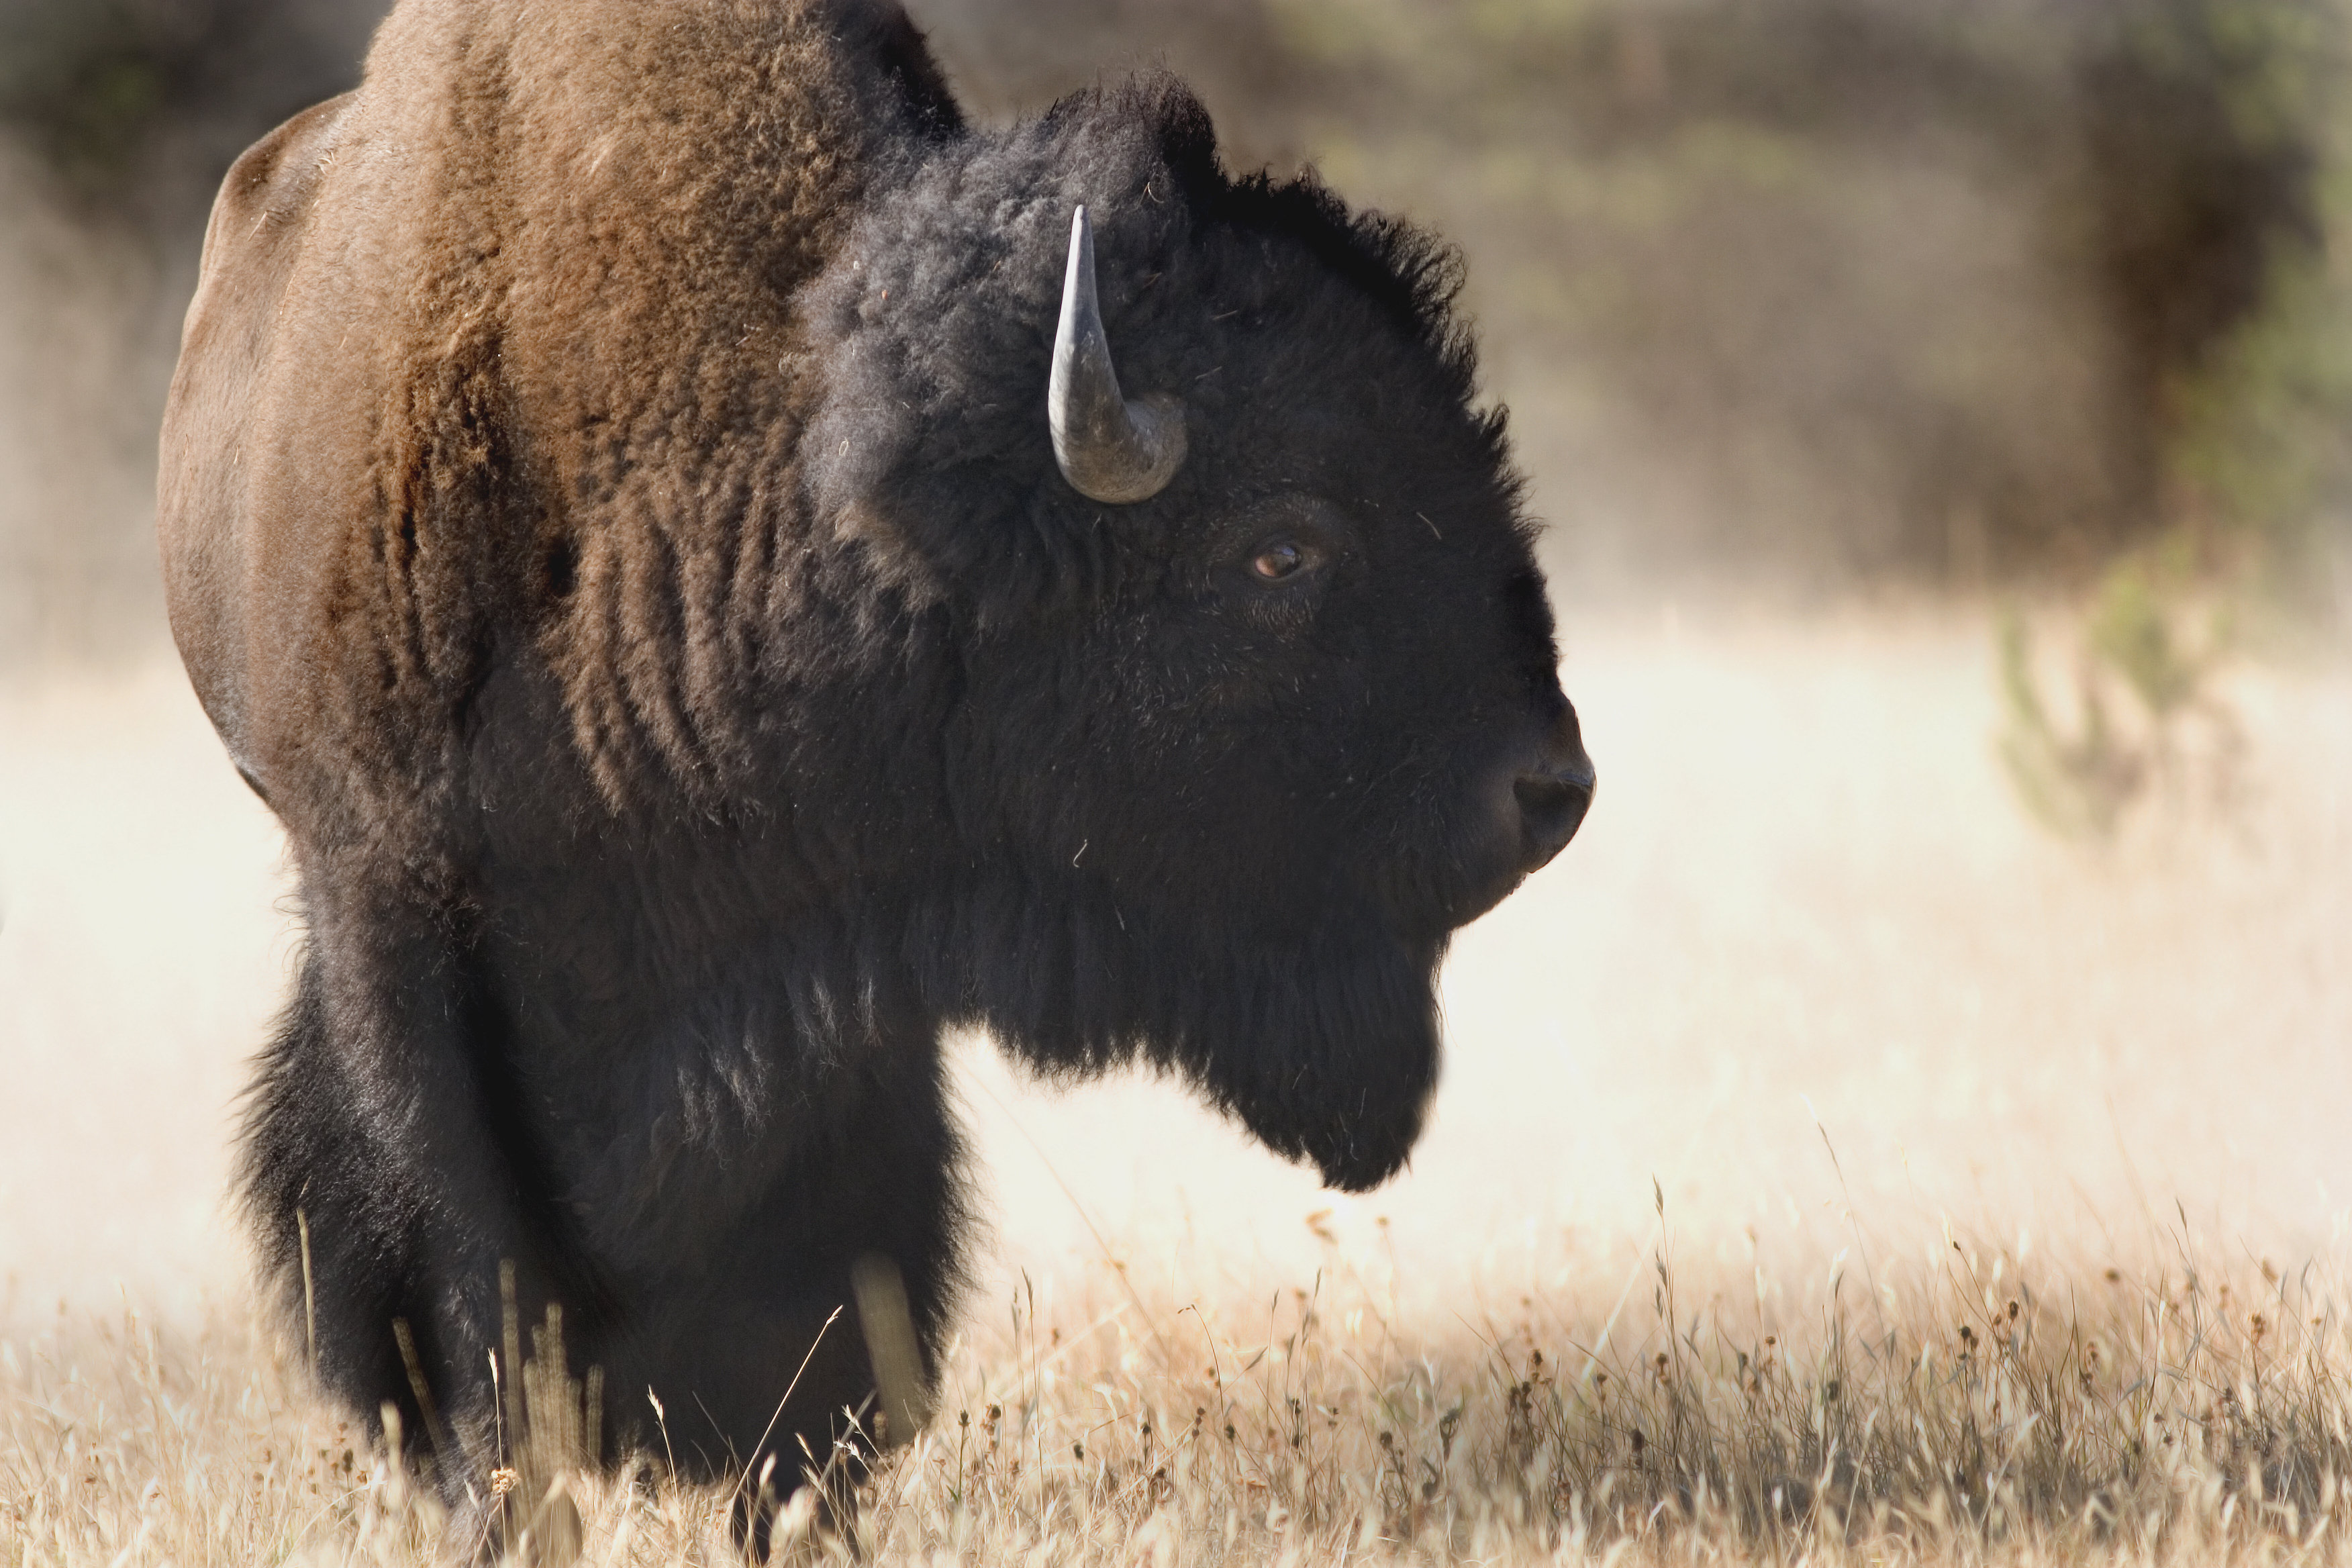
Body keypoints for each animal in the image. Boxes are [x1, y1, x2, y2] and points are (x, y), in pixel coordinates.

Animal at [156, 0, 1593, 1528]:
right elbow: (475, 1280)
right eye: (1282, 548)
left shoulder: (850, 991)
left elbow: (840, 1293)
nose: (1548, 791)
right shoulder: (408, 938)